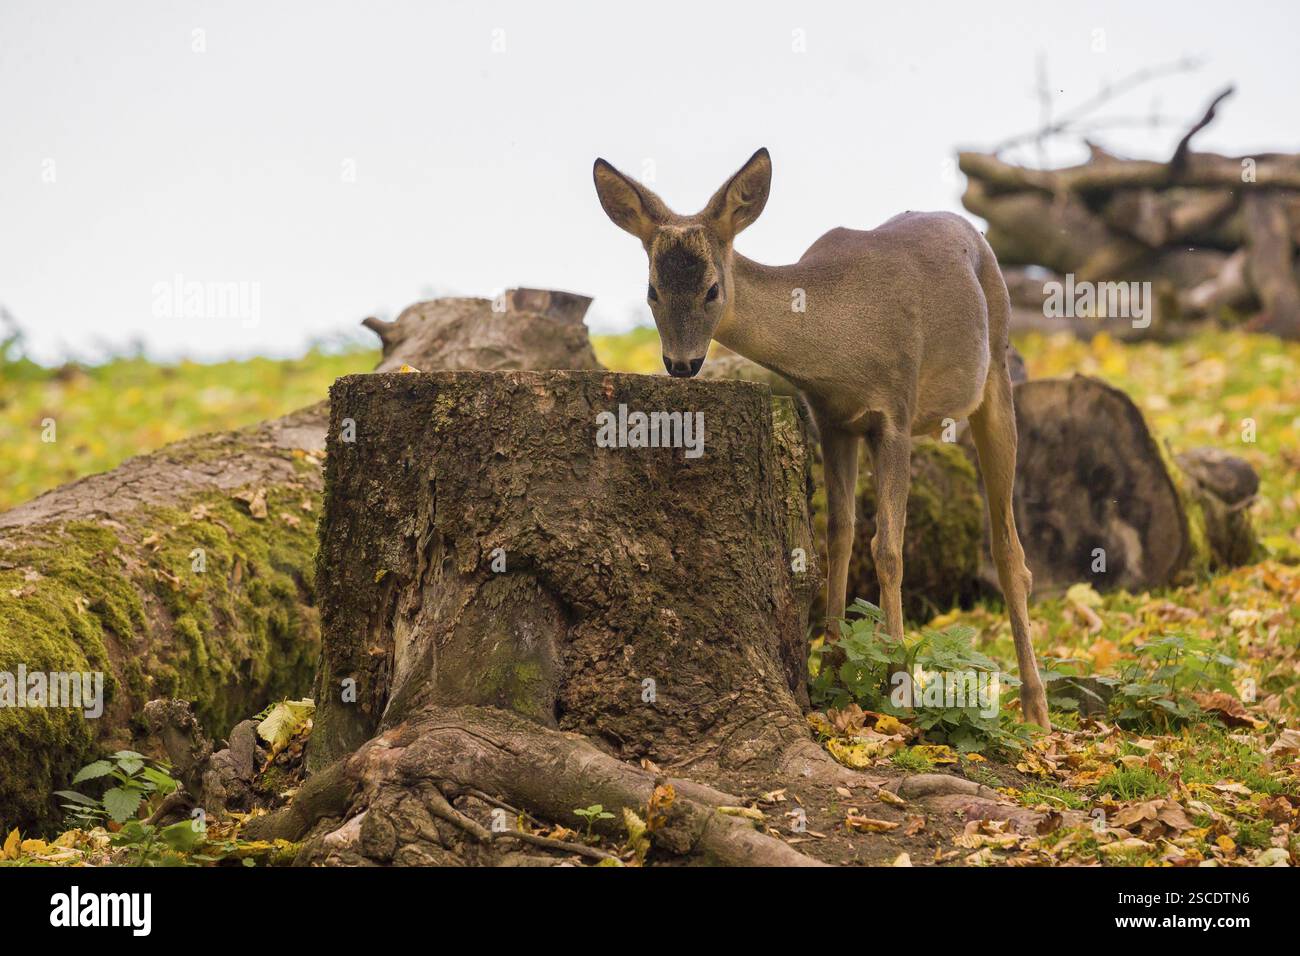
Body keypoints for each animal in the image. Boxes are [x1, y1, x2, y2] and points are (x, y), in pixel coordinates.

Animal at [593, 147, 1051, 730]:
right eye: (652, 290)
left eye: (712, 290)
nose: (680, 364)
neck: (839, 345)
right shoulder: (830, 421)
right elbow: (838, 536)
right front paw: (832, 670)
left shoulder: (895, 413)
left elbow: (888, 550)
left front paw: (899, 689)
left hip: (996, 373)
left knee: (1009, 547)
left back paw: (1037, 710)